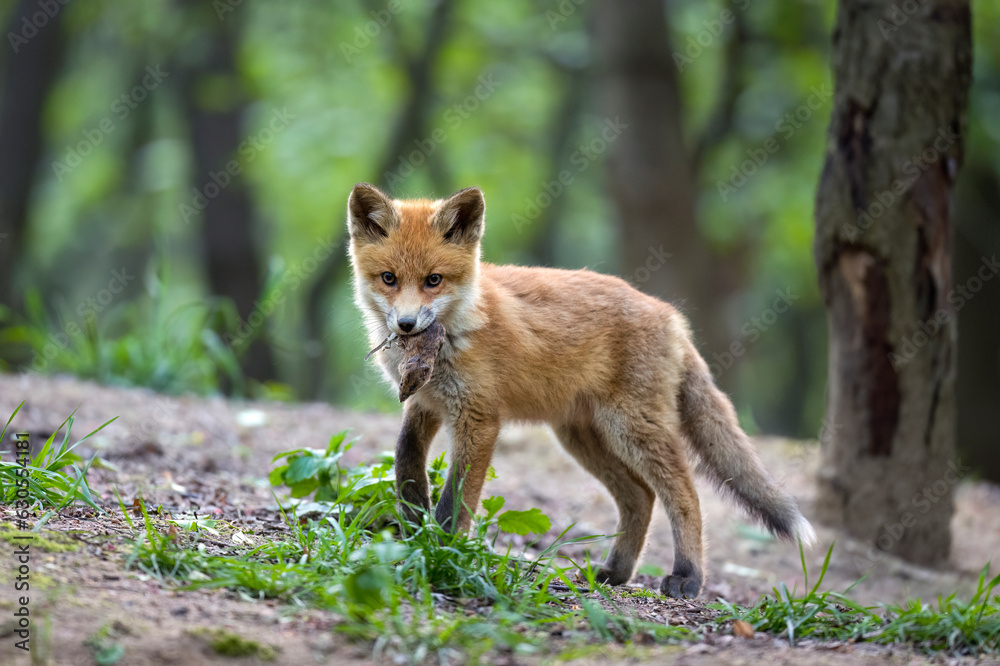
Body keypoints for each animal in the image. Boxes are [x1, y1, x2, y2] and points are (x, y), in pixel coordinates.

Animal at [347, 182, 815, 598]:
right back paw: (616, 572)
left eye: (434, 280)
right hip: (583, 437)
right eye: (388, 278)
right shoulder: (425, 403)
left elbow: (457, 498)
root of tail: (672, 317)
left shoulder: (478, 417)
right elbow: (406, 459)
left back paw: (688, 576)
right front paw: (412, 523)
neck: (459, 326)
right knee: (641, 497)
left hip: (631, 429)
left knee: (684, 494)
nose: (407, 325)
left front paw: (439, 550)